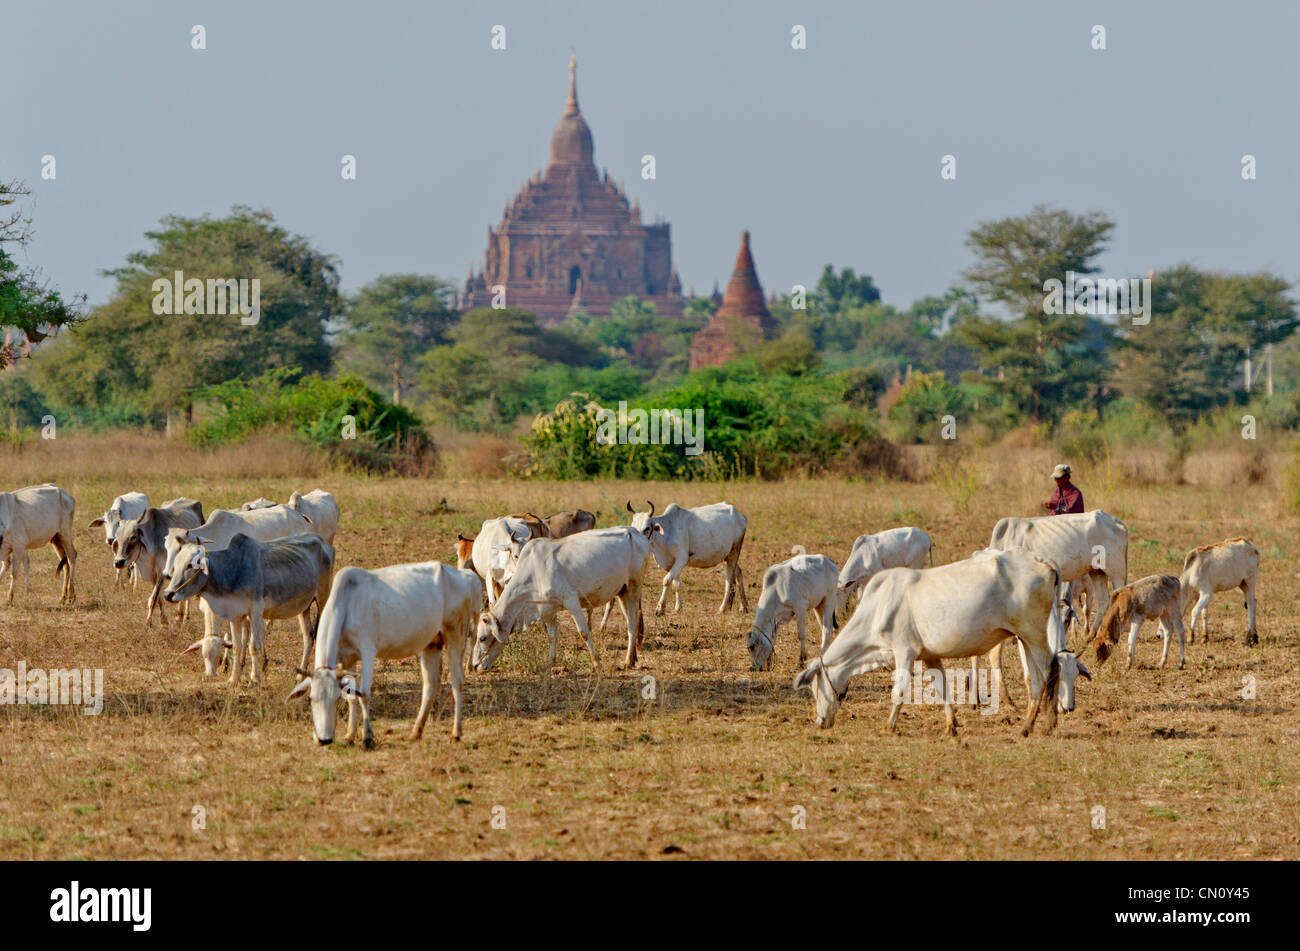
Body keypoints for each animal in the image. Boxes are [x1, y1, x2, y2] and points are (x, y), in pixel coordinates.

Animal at [163, 532, 334, 684]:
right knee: (308, 637)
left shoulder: (256, 612)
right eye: (176, 564)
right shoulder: (235, 616)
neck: (232, 569)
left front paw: (255, 679)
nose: (167, 594)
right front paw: (233, 679)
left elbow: (253, 646)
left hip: (323, 600)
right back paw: (300, 676)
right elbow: (237, 647)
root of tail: (323, 542)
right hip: (304, 607)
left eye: (190, 565)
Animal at [286, 561, 482, 745]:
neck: (346, 603)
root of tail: (466, 575)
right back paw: (416, 732)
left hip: (455, 636)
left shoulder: (367, 651)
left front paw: (367, 736)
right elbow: (351, 696)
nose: (324, 739)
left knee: (457, 682)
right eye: (311, 699)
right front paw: (350, 735)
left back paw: (456, 733)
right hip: (431, 644)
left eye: (335, 698)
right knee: (430, 685)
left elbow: (364, 694)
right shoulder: (348, 659)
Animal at [472, 525, 657, 671]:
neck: (533, 572)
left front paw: (596, 662)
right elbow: (552, 635)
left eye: (483, 638)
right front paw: (550, 662)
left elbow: (583, 632)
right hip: (621, 592)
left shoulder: (571, 600)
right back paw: (632, 658)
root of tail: (635, 532)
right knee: (630, 621)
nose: (474, 666)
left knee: (632, 622)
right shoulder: (547, 609)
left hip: (634, 587)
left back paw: (627, 661)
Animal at [794, 547, 1090, 737]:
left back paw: (1040, 725)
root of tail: (1044, 562)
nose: (820, 721)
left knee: (1049, 671)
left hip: (1033, 634)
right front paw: (952, 725)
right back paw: (1032, 724)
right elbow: (943, 687)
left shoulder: (904, 652)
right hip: (1024, 638)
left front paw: (890, 726)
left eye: (815, 688)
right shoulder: (929, 655)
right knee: (1039, 676)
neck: (878, 606)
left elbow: (899, 691)